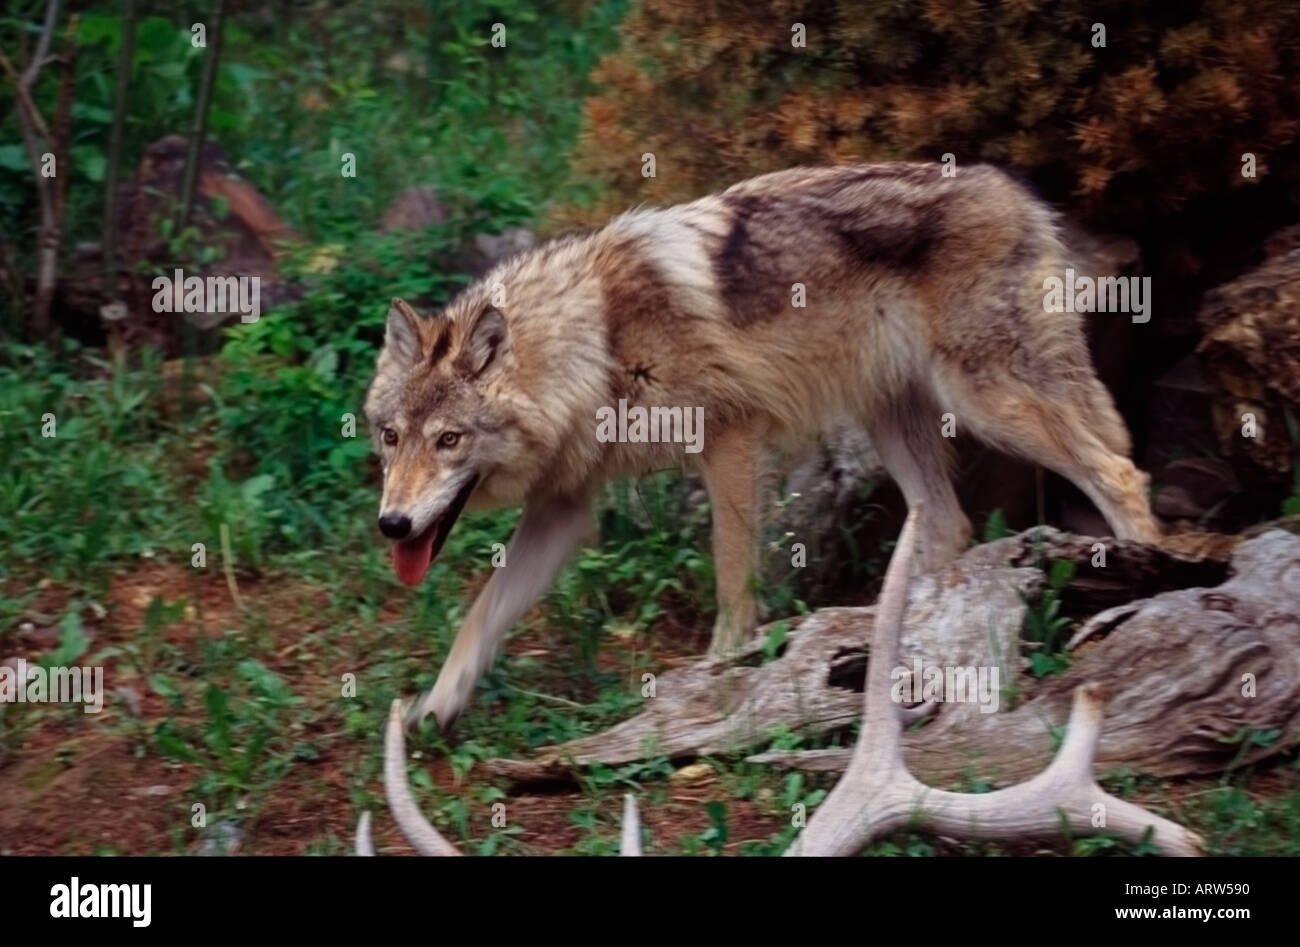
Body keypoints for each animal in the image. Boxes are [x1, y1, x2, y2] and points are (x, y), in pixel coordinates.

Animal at [364, 162, 1161, 729]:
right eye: (391, 437)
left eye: (449, 439)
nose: (392, 525)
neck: (594, 342)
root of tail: (1018, 193)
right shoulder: (564, 507)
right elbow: (482, 609)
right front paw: (437, 705)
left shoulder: (729, 438)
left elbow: (731, 574)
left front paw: (720, 672)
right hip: (895, 421)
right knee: (949, 523)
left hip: (988, 402)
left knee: (1121, 472)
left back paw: (1147, 588)